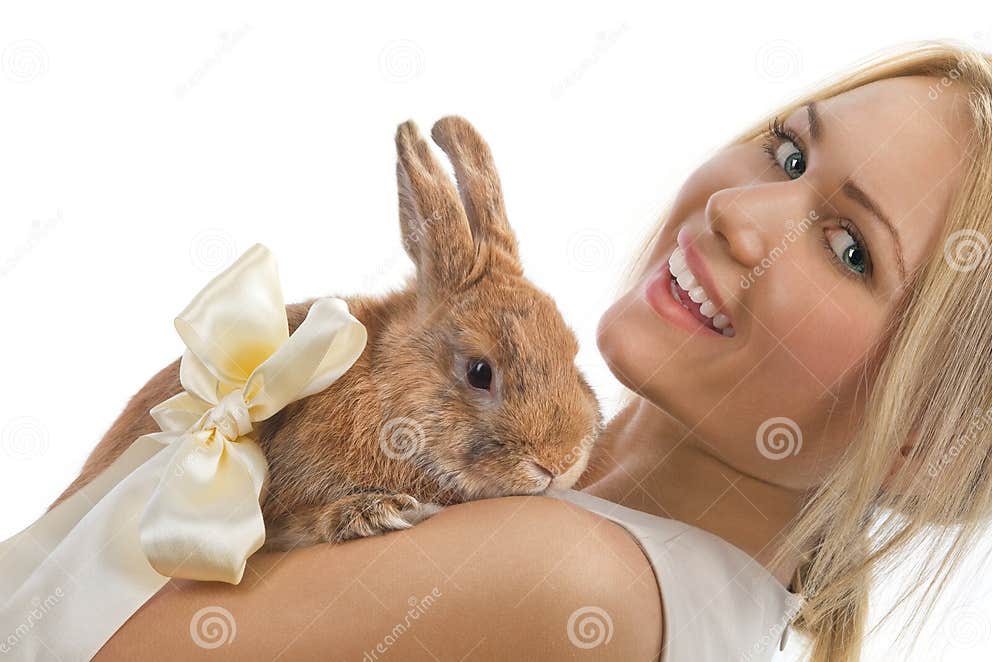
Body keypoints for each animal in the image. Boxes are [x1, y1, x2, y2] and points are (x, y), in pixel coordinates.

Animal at [49, 116, 603, 552]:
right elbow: (288, 526)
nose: (558, 462)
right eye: (479, 371)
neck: (386, 390)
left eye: (574, 352)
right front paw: (374, 513)